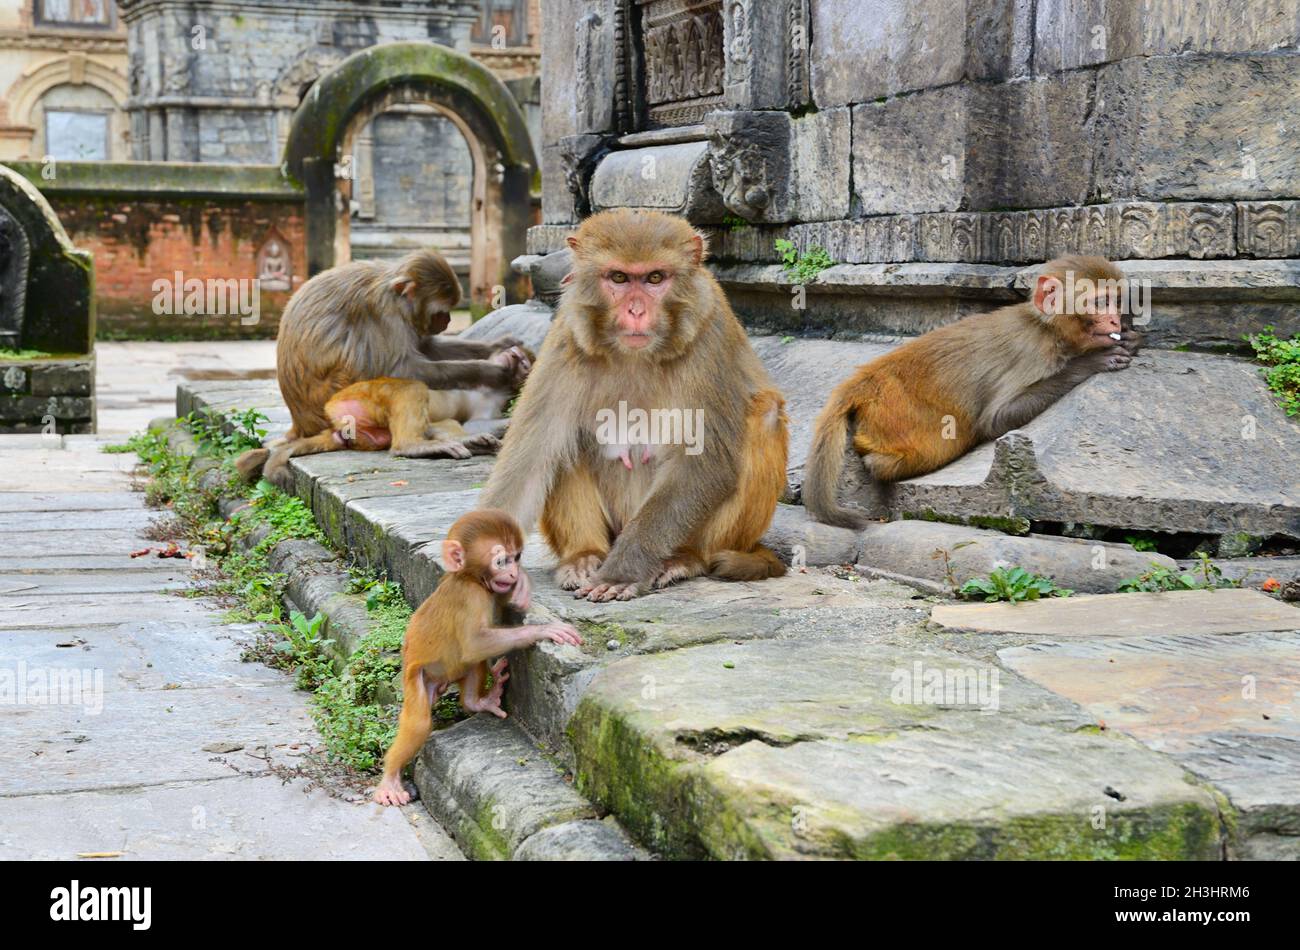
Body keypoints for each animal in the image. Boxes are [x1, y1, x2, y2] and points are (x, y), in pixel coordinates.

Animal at [236, 345, 532, 489]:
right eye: (515, 354)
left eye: (524, 361)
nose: (514, 357)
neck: (492, 388)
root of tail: (337, 426)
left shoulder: (494, 401)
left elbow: (473, 422)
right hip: (354, 398)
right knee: (409, 387)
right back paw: (411, 446)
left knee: (441, 421)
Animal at [273, 248, 527, 443]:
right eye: (441, 311)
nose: (448, 320)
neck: (394, 291)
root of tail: (301, 424)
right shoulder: (384, 312)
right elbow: (401, 369)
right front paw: (491, 371)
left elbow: (428, 348)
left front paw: (498, 345)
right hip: (337, 398)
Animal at [372, 509, 583, 806]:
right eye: (501, 560)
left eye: (516, 557)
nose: (512, 572)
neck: (470, 578)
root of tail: (440, 682)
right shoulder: (470, 597)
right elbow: (474, 644)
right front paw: (543, 629)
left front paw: (521, 586)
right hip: (416, 679)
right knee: (420, 722)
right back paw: (390, 779)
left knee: (472, 667)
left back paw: (480, 700)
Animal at [478, 208, 789, 603]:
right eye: (619, 278)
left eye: (655, 278)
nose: (636, 310)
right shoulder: (567, 336)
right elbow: (530, 458)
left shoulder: (711, 336)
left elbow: (706, 461)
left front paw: (623, 572)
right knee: (562, 441)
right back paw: (583, 556)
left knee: (766, 414)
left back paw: (686, 558)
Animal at [802, 255, 1143, 529]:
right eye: (1099, 302)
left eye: (1115, 301)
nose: (1115, 319)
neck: (1049, 330)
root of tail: (862, 380)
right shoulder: (1034, 354)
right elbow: (993, 419)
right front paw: (1094, 360)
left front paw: (1129, 338)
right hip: (896, 412)